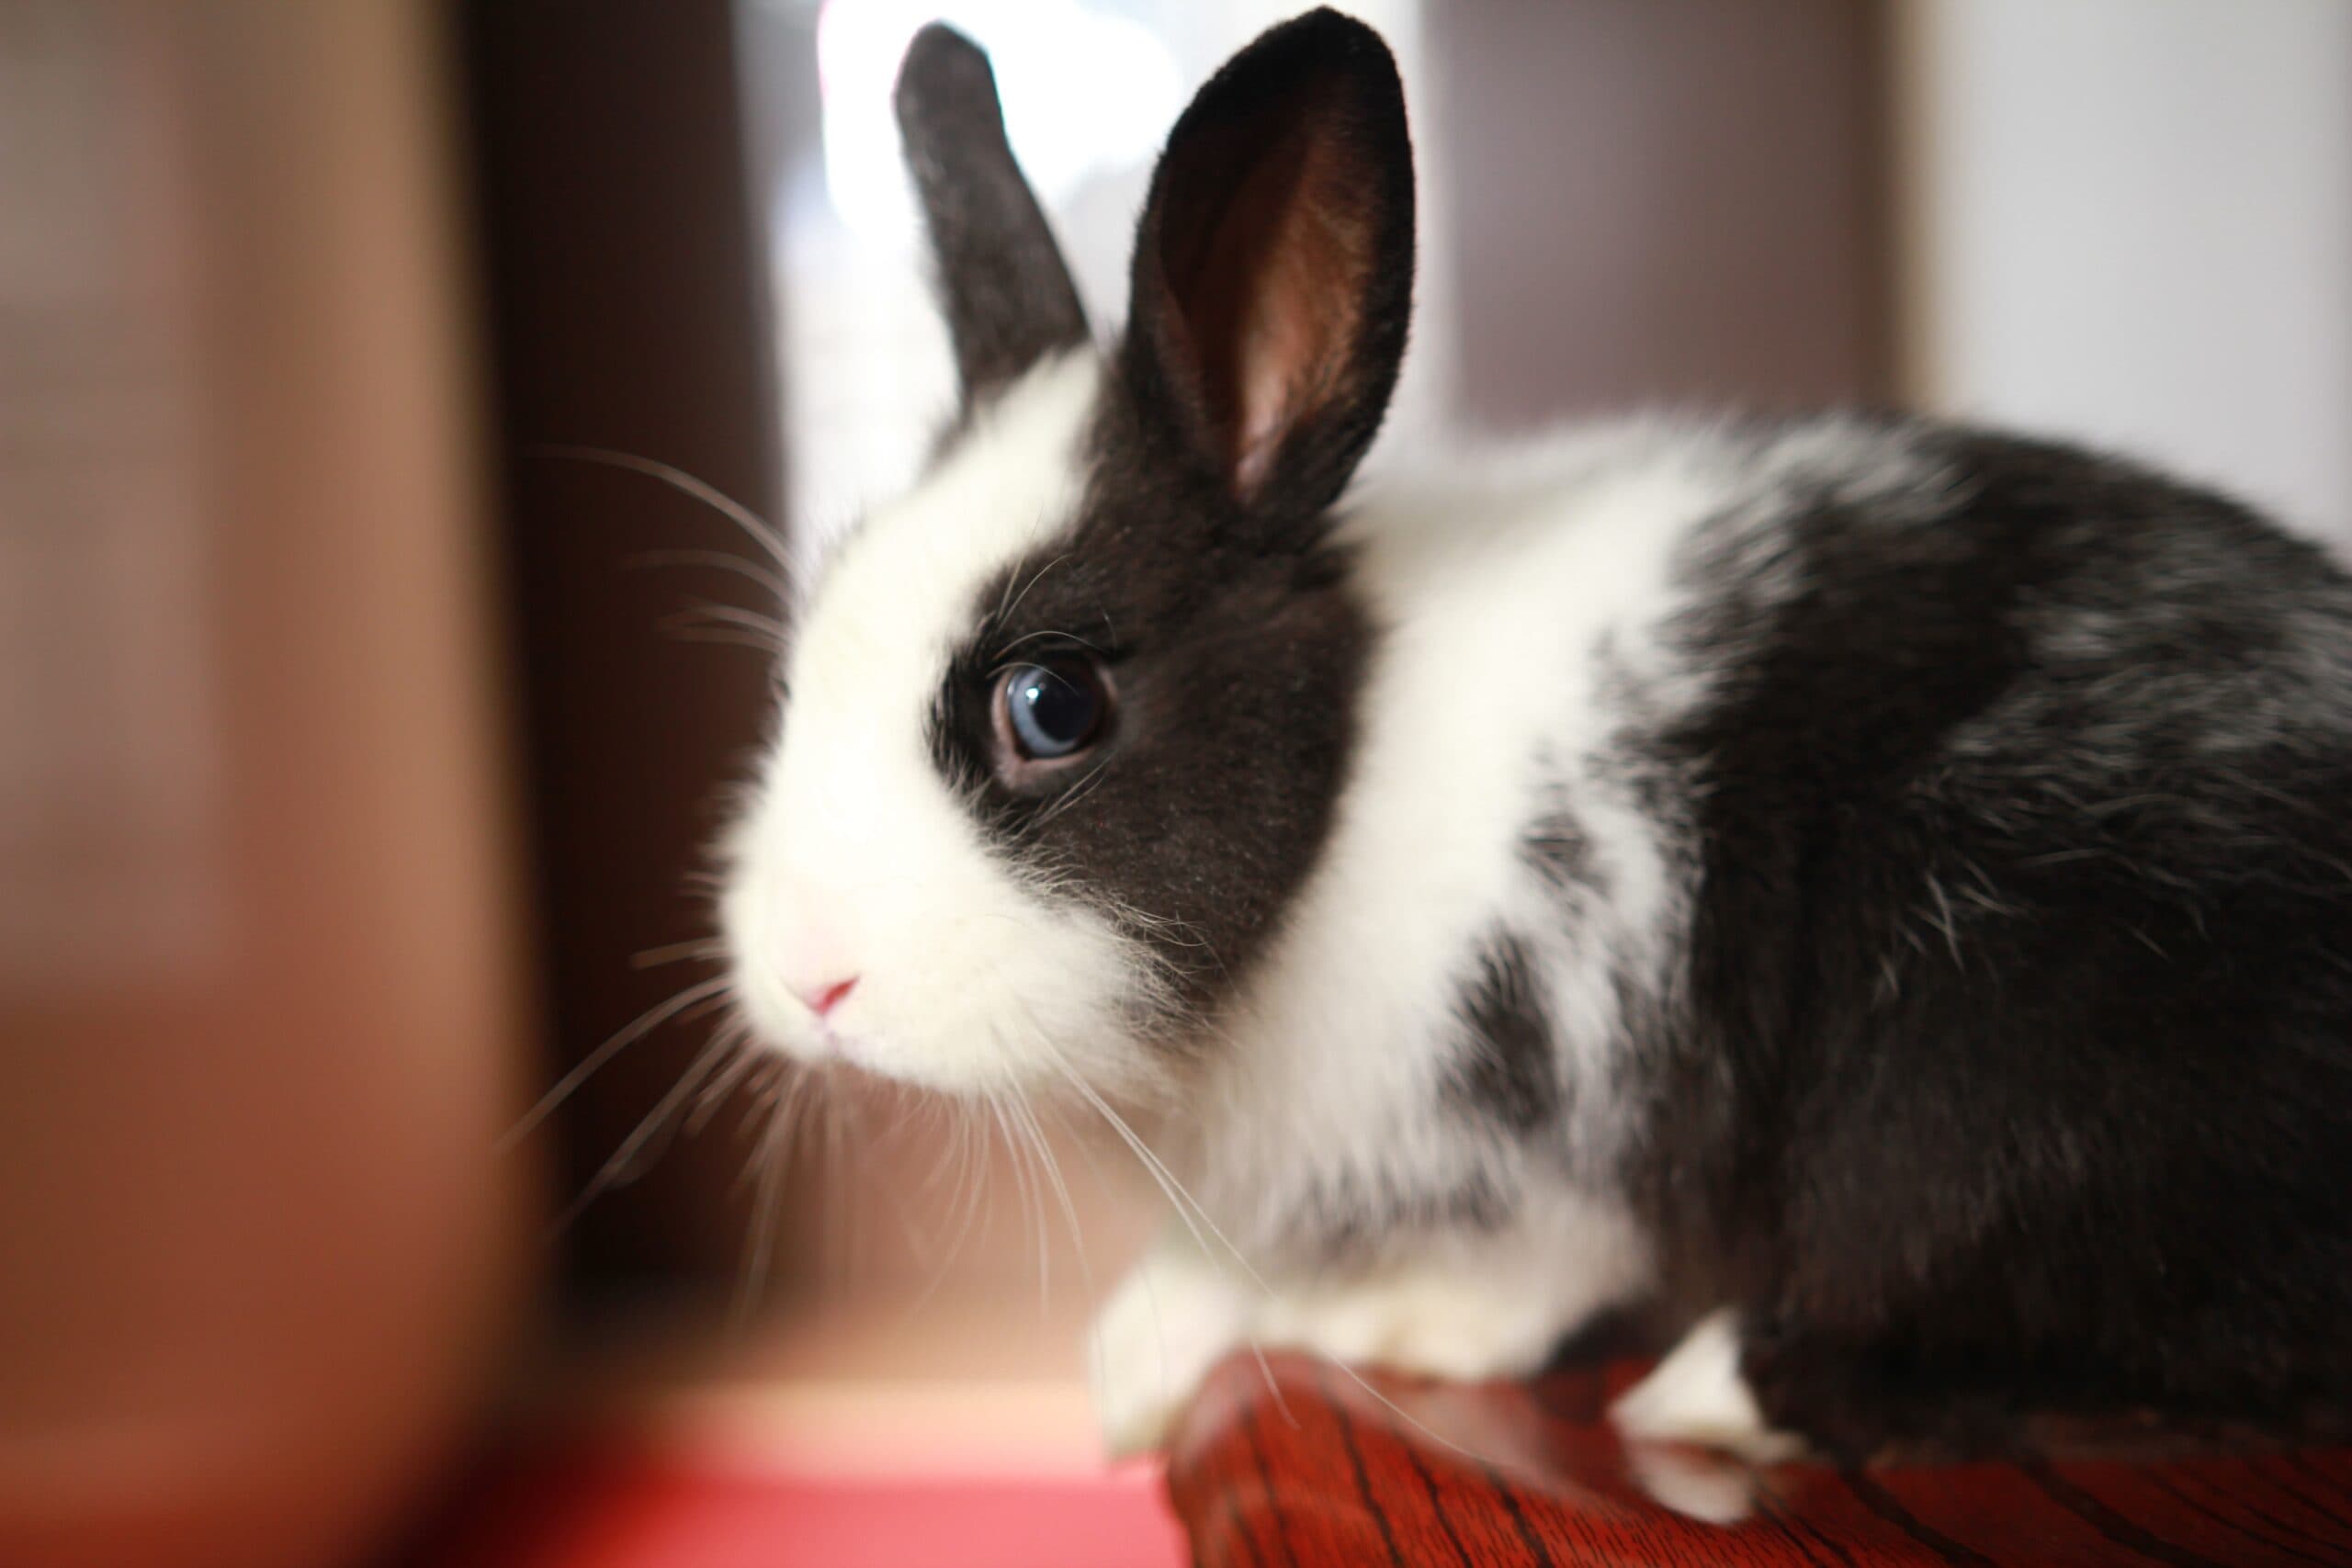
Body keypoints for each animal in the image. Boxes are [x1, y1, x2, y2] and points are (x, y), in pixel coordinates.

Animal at [719, 8, 2352, 1465]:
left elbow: (1510, 1279)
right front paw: (1138, 1351)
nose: (809, 975)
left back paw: (1706, 1392)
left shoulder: (1555, 1115)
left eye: (1050, 703)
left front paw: (1322, 1330)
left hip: (1982, 1076)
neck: (1344, 796)